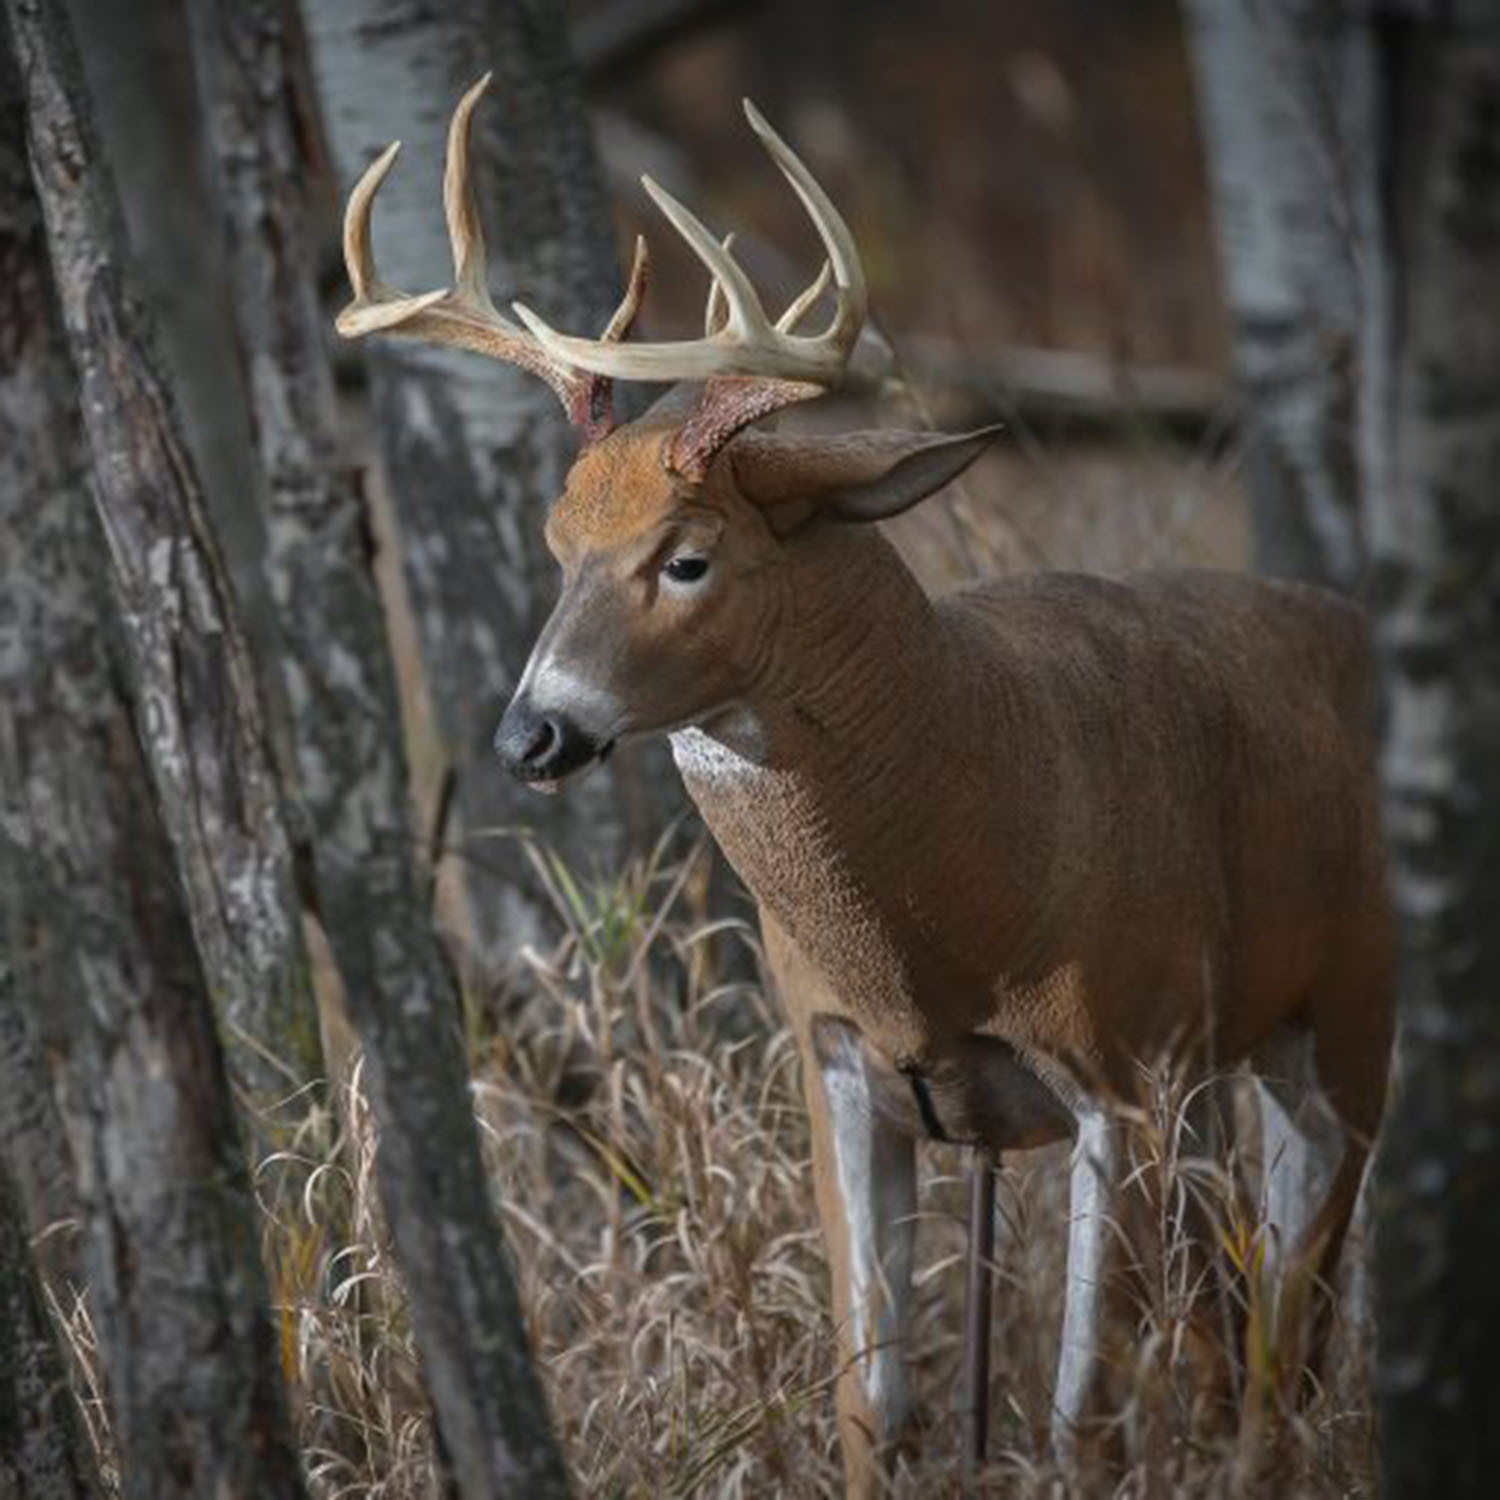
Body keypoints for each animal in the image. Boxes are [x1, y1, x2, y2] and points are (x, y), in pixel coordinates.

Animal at [338, 76, 1394, 1497]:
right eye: (558, 544)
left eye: (688, 557)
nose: (531, 737)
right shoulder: (833, 1054)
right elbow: (869, 1404)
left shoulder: (1119, 1061)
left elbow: (1081, 1421)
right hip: (1226, 1078)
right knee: (1242, 1331)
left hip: (1347, 1020)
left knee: (1296, 1335)